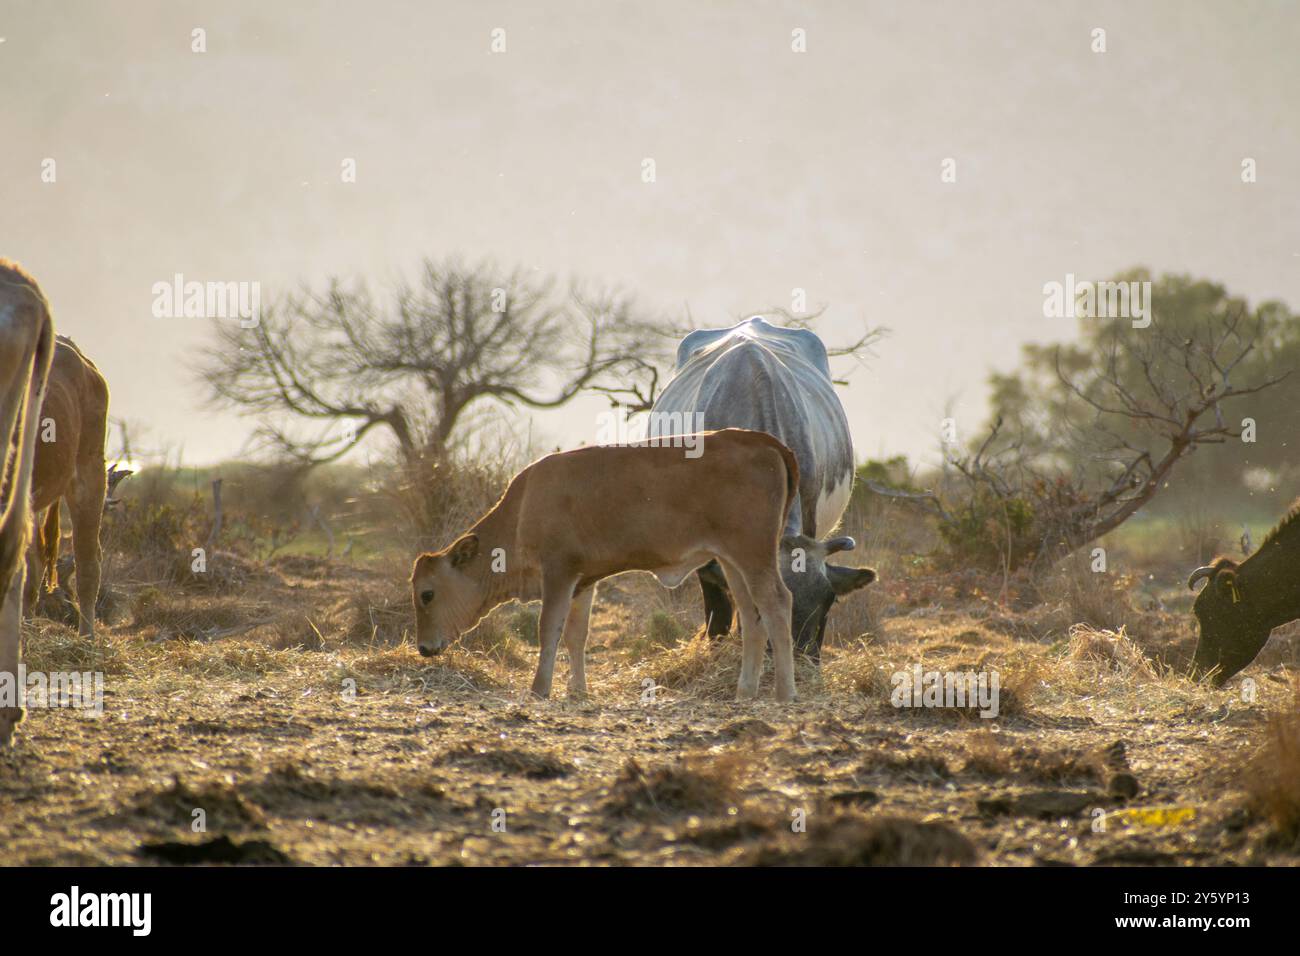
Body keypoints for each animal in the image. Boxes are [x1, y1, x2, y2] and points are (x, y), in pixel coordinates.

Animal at [411, 429, 799, 701]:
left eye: (427, 594)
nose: (423, 649)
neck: (522, 510)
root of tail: (757, 439)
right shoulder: (583, 580)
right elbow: (576, 635)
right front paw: (577, 690)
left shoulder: (559, 572)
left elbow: (548, 628)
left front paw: (539, 689)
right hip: (733, 562)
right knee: (752, 616)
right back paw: (745, 692)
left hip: (754, 555)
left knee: (777, 604)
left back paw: (785, 694)